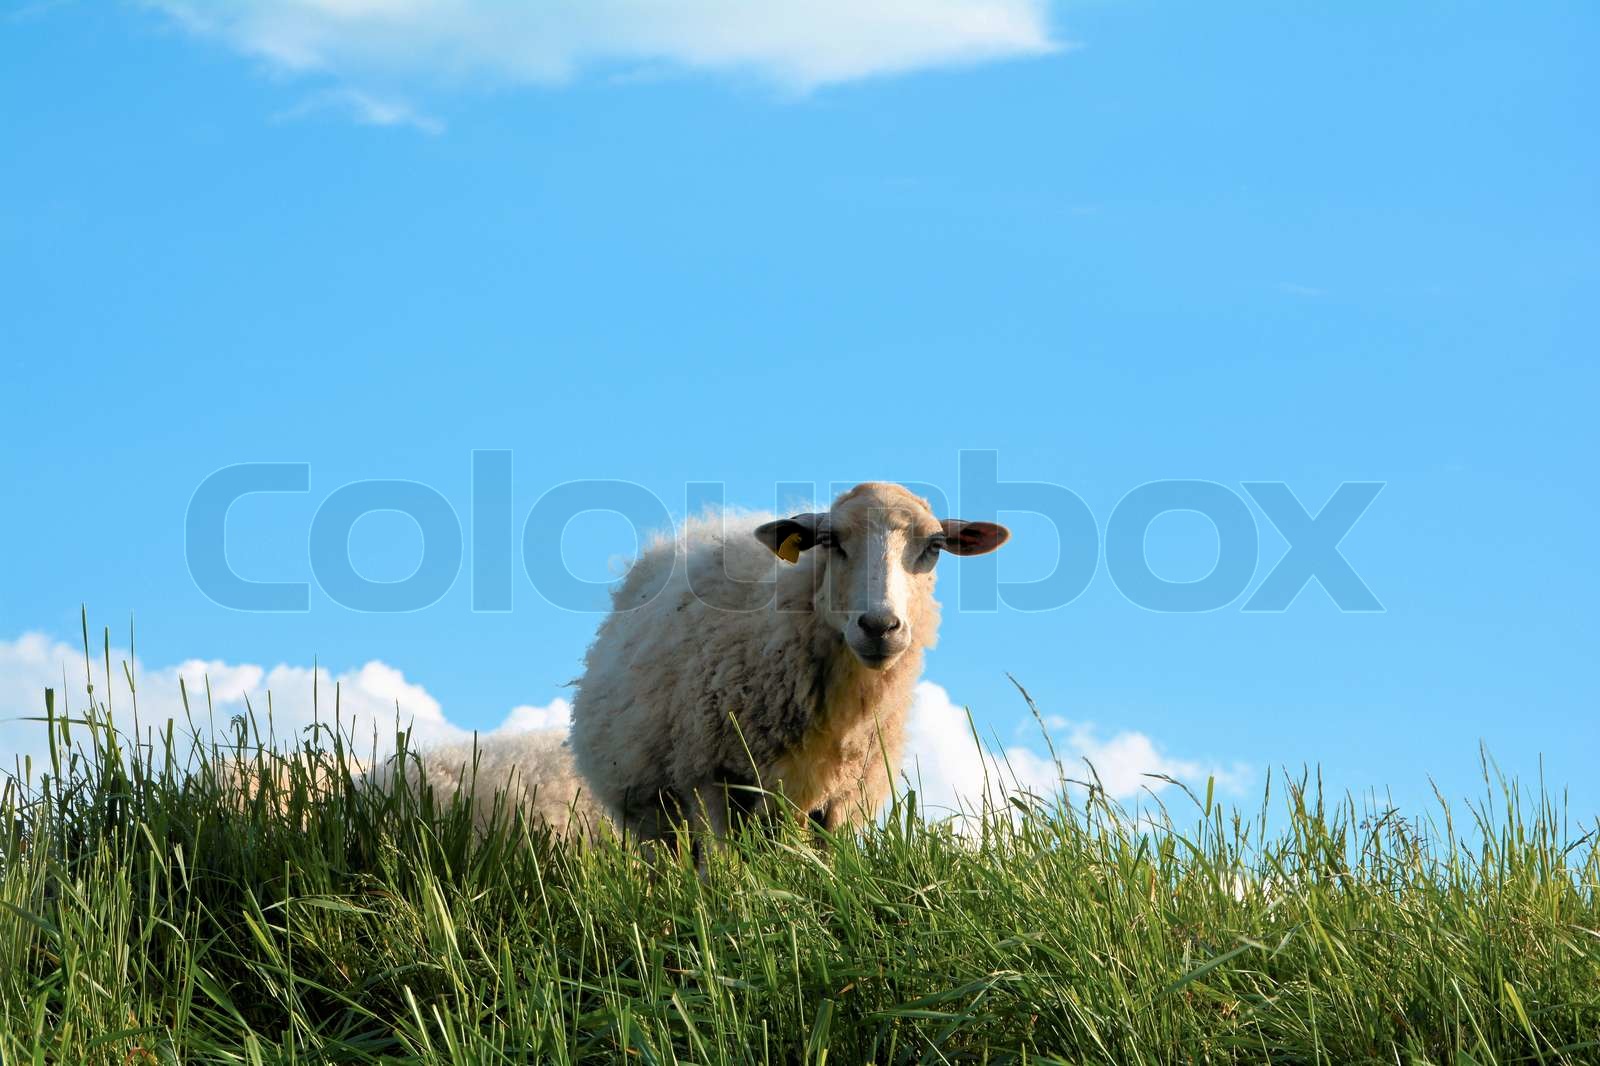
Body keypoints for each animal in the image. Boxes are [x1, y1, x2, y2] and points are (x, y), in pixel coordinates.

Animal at [569, 481, 1009, 845]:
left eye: (934, 545)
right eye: (830, 540)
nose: (879, 626)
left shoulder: (842, 797)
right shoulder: (709, 775)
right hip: (649, 806)